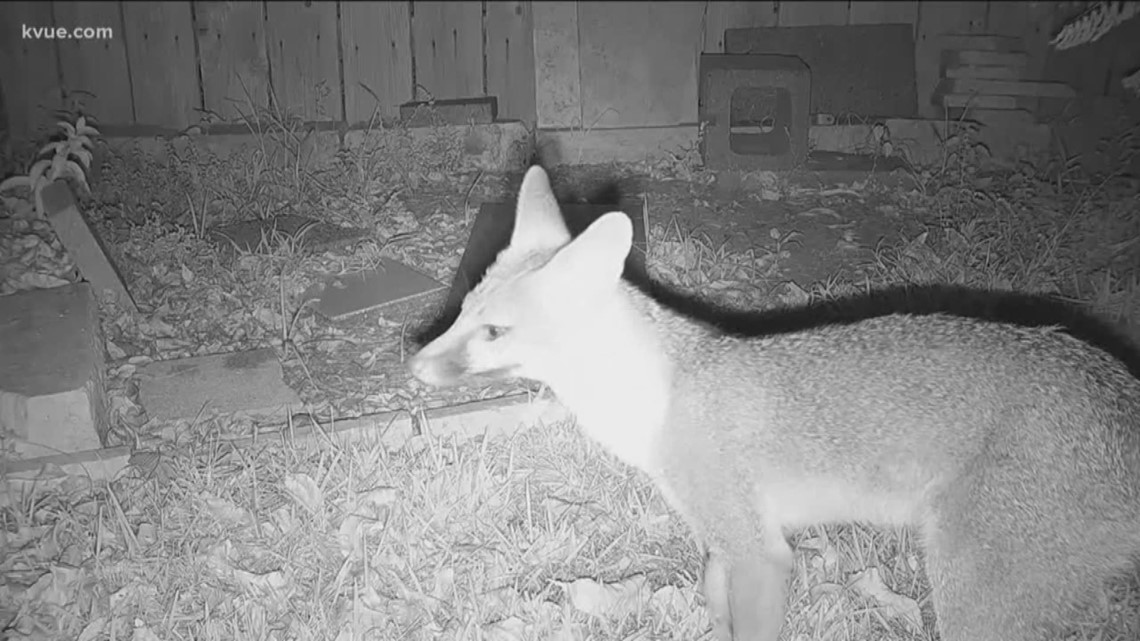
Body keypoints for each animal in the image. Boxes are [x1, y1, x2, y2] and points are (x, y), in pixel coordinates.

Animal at [408, 165, 1140, 641]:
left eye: (494, 332)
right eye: (464, 309)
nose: (412, 362)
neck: (656, 394)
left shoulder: (761, 553)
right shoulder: (723, 545)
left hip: (970, 599)